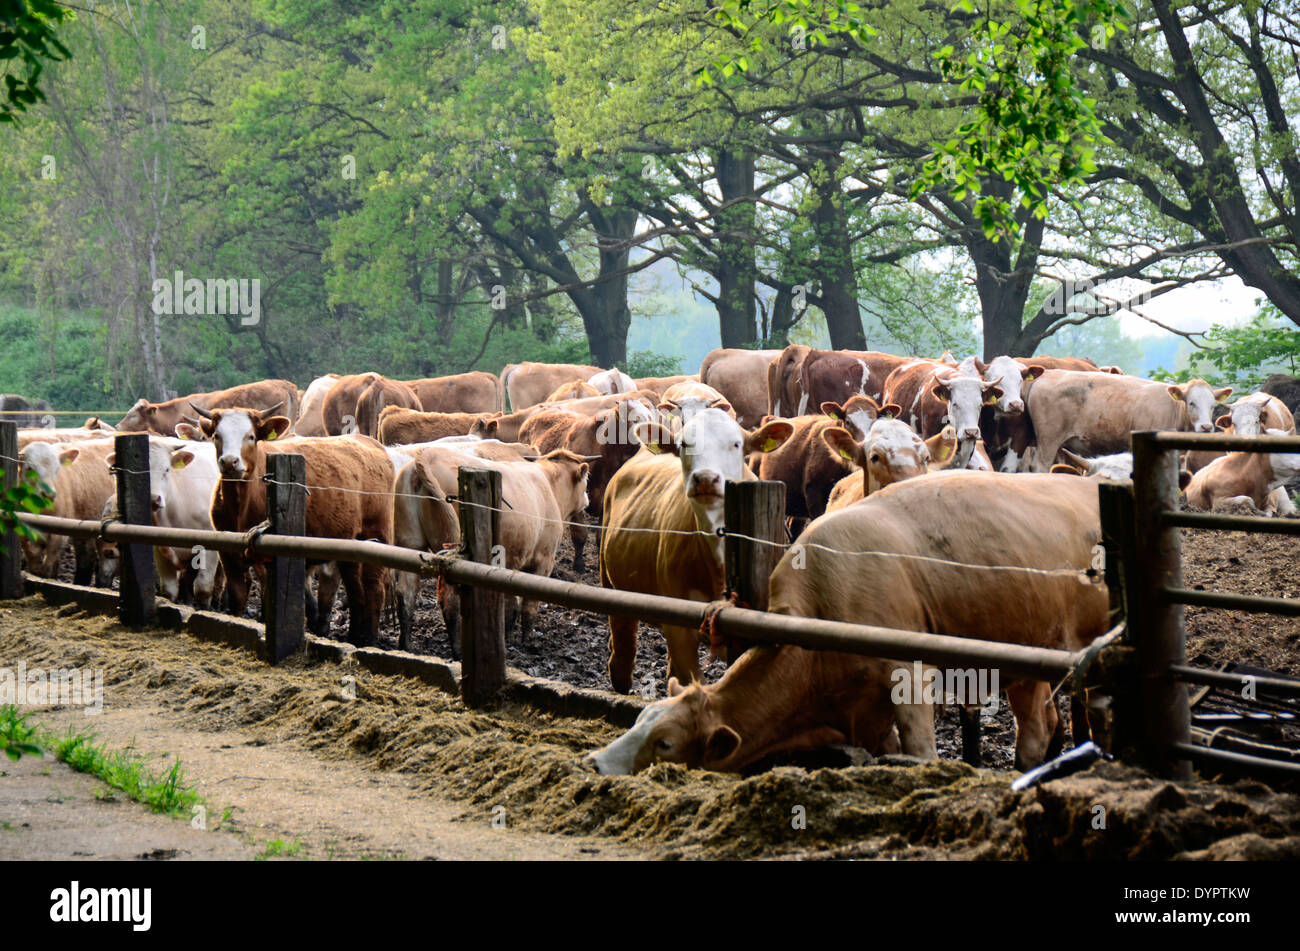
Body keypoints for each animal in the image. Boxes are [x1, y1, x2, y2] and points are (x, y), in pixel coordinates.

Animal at [17, 438, 115, 584]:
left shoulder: (59, 535)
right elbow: (33, 558)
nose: (49, 494)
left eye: (57, 469)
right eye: (29, 468)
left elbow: (49, 567)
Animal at [189, 406, 394, 645]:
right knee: (356, 591)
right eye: (216, 436)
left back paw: (368, 639)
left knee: (373, 588)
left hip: (378, 533)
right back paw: (354, 637)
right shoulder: (228, 553)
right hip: (350, 545)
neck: (242, 503)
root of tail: (371, 443)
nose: (230, 462)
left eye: (251, 436)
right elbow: (238, 594)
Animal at [585, 472, 1108, 775]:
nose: (595, 763)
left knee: (1042, 731)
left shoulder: (909, 677)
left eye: (665, 743)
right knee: (1050, 721)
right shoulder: (863, 717)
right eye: (639, 720)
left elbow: (919, 752)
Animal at [599, 410, 794, 693]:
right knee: (623, 650)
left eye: (736, 444)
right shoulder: (677, 621)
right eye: (683, 444)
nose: (705, 478)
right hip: (611, 584)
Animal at [1025, 371, 1233, 471]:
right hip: (1049, 439)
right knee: (1040, 466)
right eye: (1191, 403)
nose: (1206, 426)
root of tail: (1046, 375)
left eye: (1213, 405)